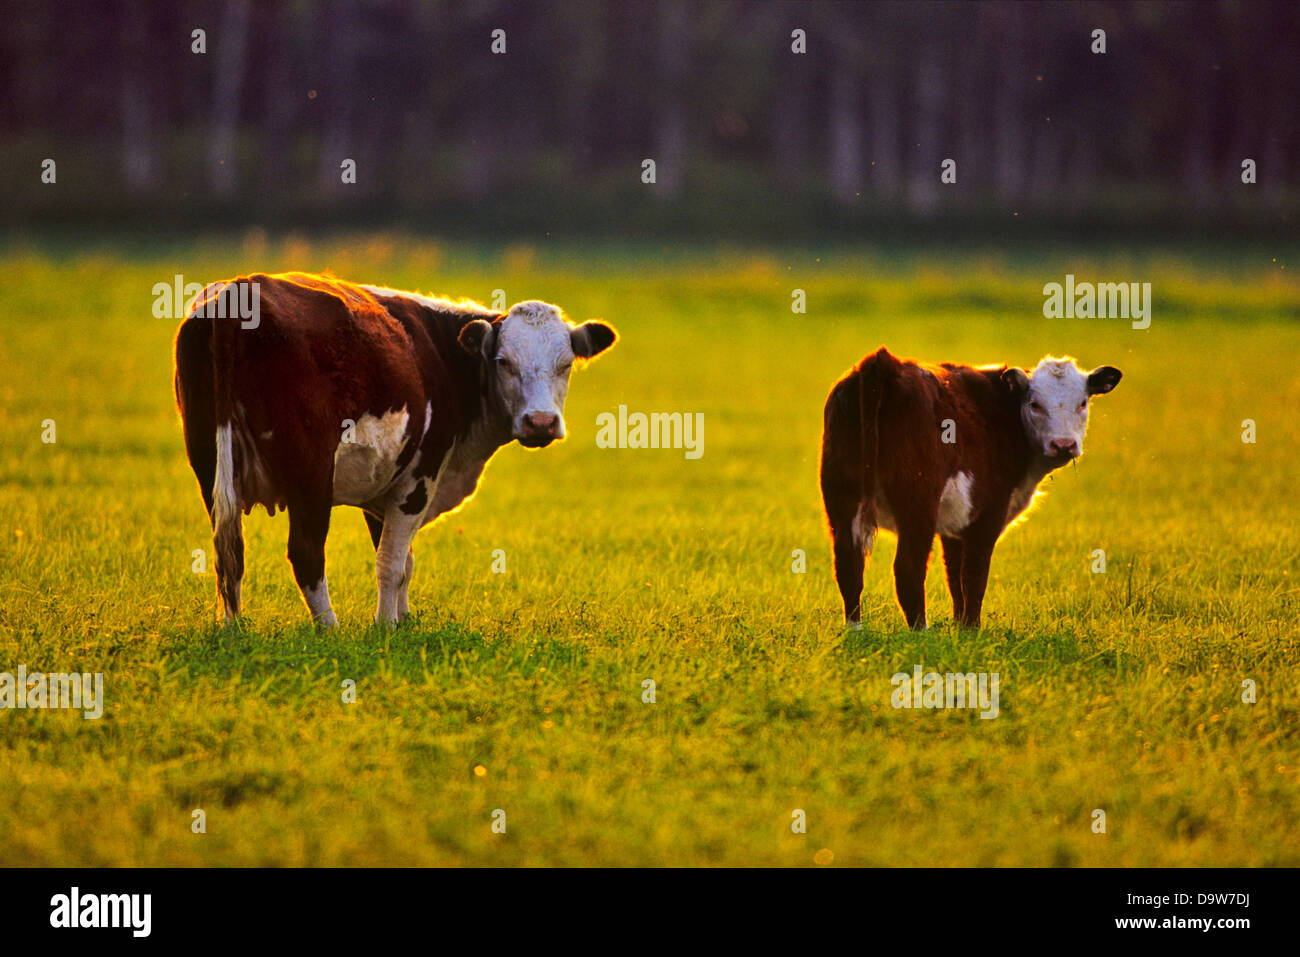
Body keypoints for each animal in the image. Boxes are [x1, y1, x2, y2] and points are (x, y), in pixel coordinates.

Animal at [173, 272, 617, 626]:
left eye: (566, 364)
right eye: (503, 361)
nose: (540, 422)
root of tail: (239, 289)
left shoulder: (386, 487)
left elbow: (404, 561)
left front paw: (403, 619)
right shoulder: (418, 478)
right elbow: (390, 562)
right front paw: (386, 625)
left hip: (209, 463)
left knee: (229, 553)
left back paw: (233, 629)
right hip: (311, 476)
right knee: (305, 553)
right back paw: (330, 629)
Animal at [819, 347, 1122, 630]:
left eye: (1082, 403)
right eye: (1035, 404)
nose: (1064, 445)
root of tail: (885, 364)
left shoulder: (954, 523)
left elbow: (954, 575)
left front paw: (958, 625)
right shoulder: (988, 514)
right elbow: (974, 576)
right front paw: (971, 629)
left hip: (842, 497)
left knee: (848, 565)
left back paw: (855, 629)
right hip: (918, 504)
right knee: (909, 569)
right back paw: (921, 632)